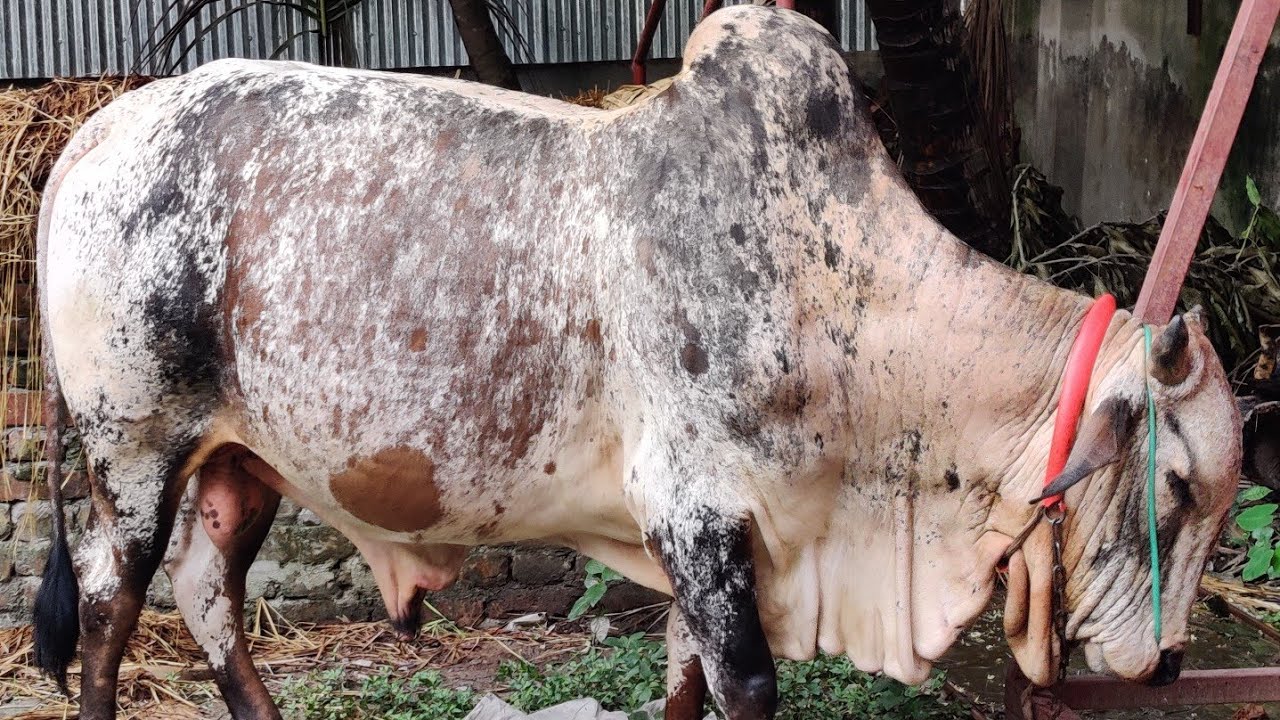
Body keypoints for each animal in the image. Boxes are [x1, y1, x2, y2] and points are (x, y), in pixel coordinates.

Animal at [31, 6, 1273, 720]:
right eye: (1174, 486)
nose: (1168, 666)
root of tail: (85, 140)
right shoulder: (694, 510)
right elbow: (745, 687)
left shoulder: (718, 542)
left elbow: (682, 685)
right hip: (133, 448)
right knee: (108, 603)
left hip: (242, 461)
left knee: (206, 598)